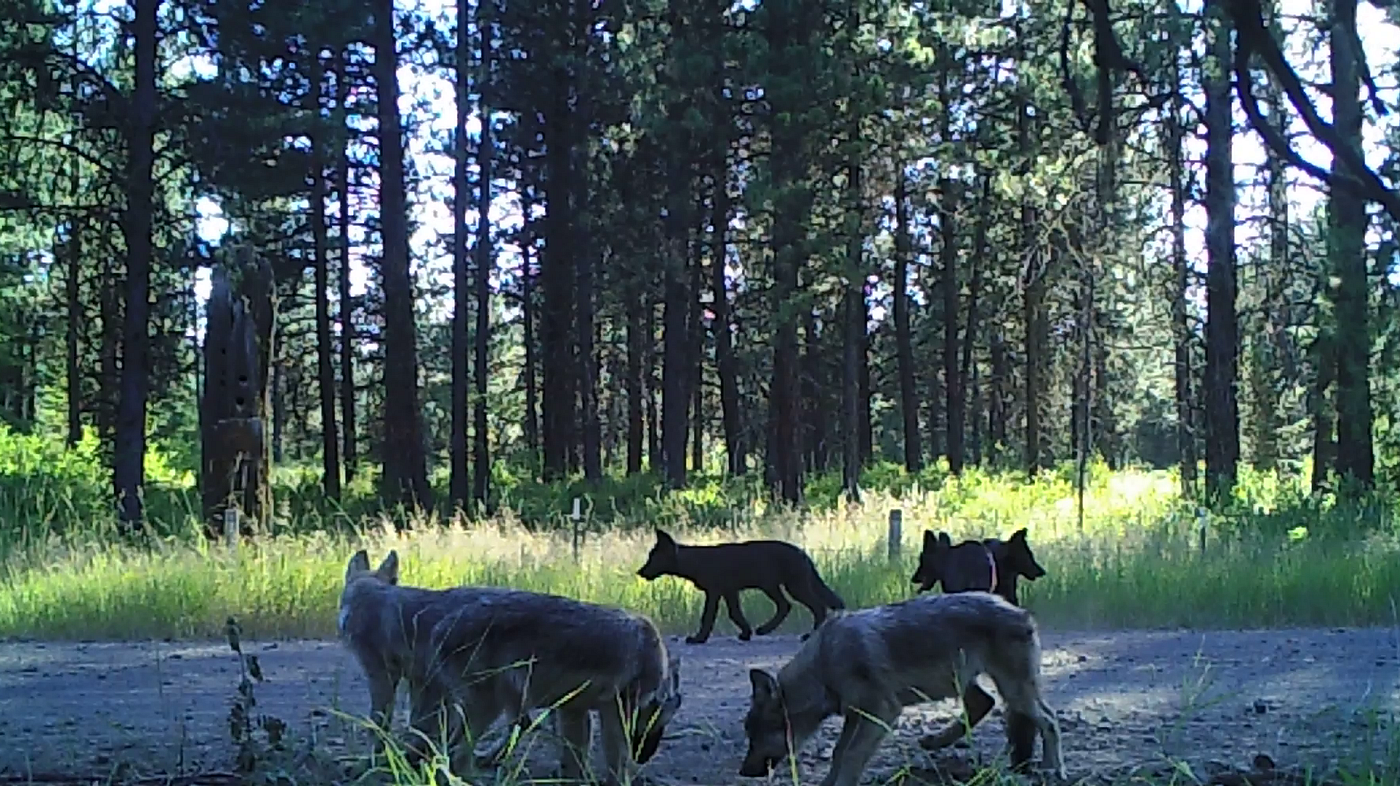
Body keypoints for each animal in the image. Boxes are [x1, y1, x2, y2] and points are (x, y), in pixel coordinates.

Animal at [408, 584, 684, 785]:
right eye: (659, 726)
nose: (644, 758)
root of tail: (441, 627)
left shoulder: (573, 712)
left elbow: (575, 760)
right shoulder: (615, 716)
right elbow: (614, 761)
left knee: (450, 753)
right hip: (488, 707)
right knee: (456, 754)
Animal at [635, 528, 845, 644]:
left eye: (653, 557)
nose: (640, 572)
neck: (696, 561)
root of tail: (803, 554)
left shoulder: (714, 592)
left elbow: (707, 617)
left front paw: (698, 639)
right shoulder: (729, 591)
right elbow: (735, 613)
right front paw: (746, 633)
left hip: (792, 586)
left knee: (816, 606)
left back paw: (809, 635)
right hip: (773, 586)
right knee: (785, 606)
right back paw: (764, 630)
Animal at [738, 592, 1065, 786]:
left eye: (755, 734)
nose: (743, 771)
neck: (824, 666)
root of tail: (1021, 611)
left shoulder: (882, 713)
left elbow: (850, 755)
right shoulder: (856, 715)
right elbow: (839, 752)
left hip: (1014, 692)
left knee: (1049, 720)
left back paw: (1054, 769)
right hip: (964, 683)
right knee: (984, 703)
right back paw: (934, 741)